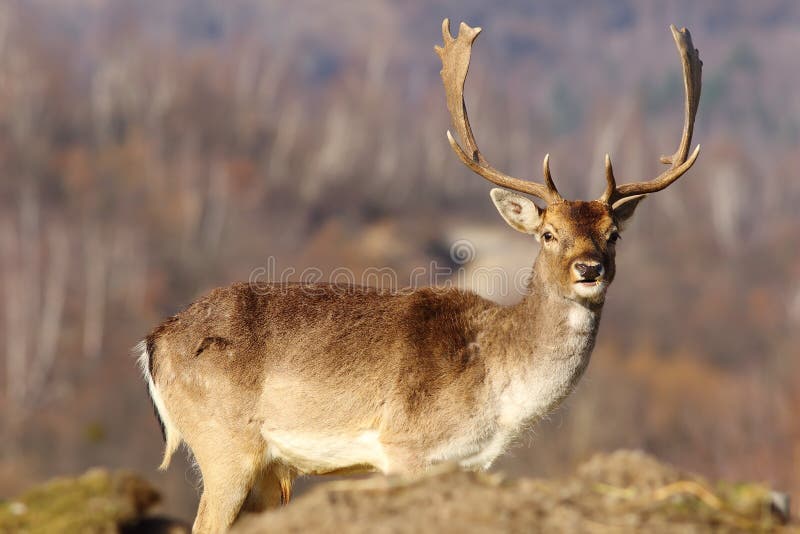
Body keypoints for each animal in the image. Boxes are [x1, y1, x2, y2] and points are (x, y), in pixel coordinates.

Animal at [137, 19, 701, 533]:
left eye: (613, 233)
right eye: (548, 233)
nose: (590, 269)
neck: (497, 394)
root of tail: (154, 342)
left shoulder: (465, 465)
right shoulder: (406, 448)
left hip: (265, 470)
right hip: (224, 445)